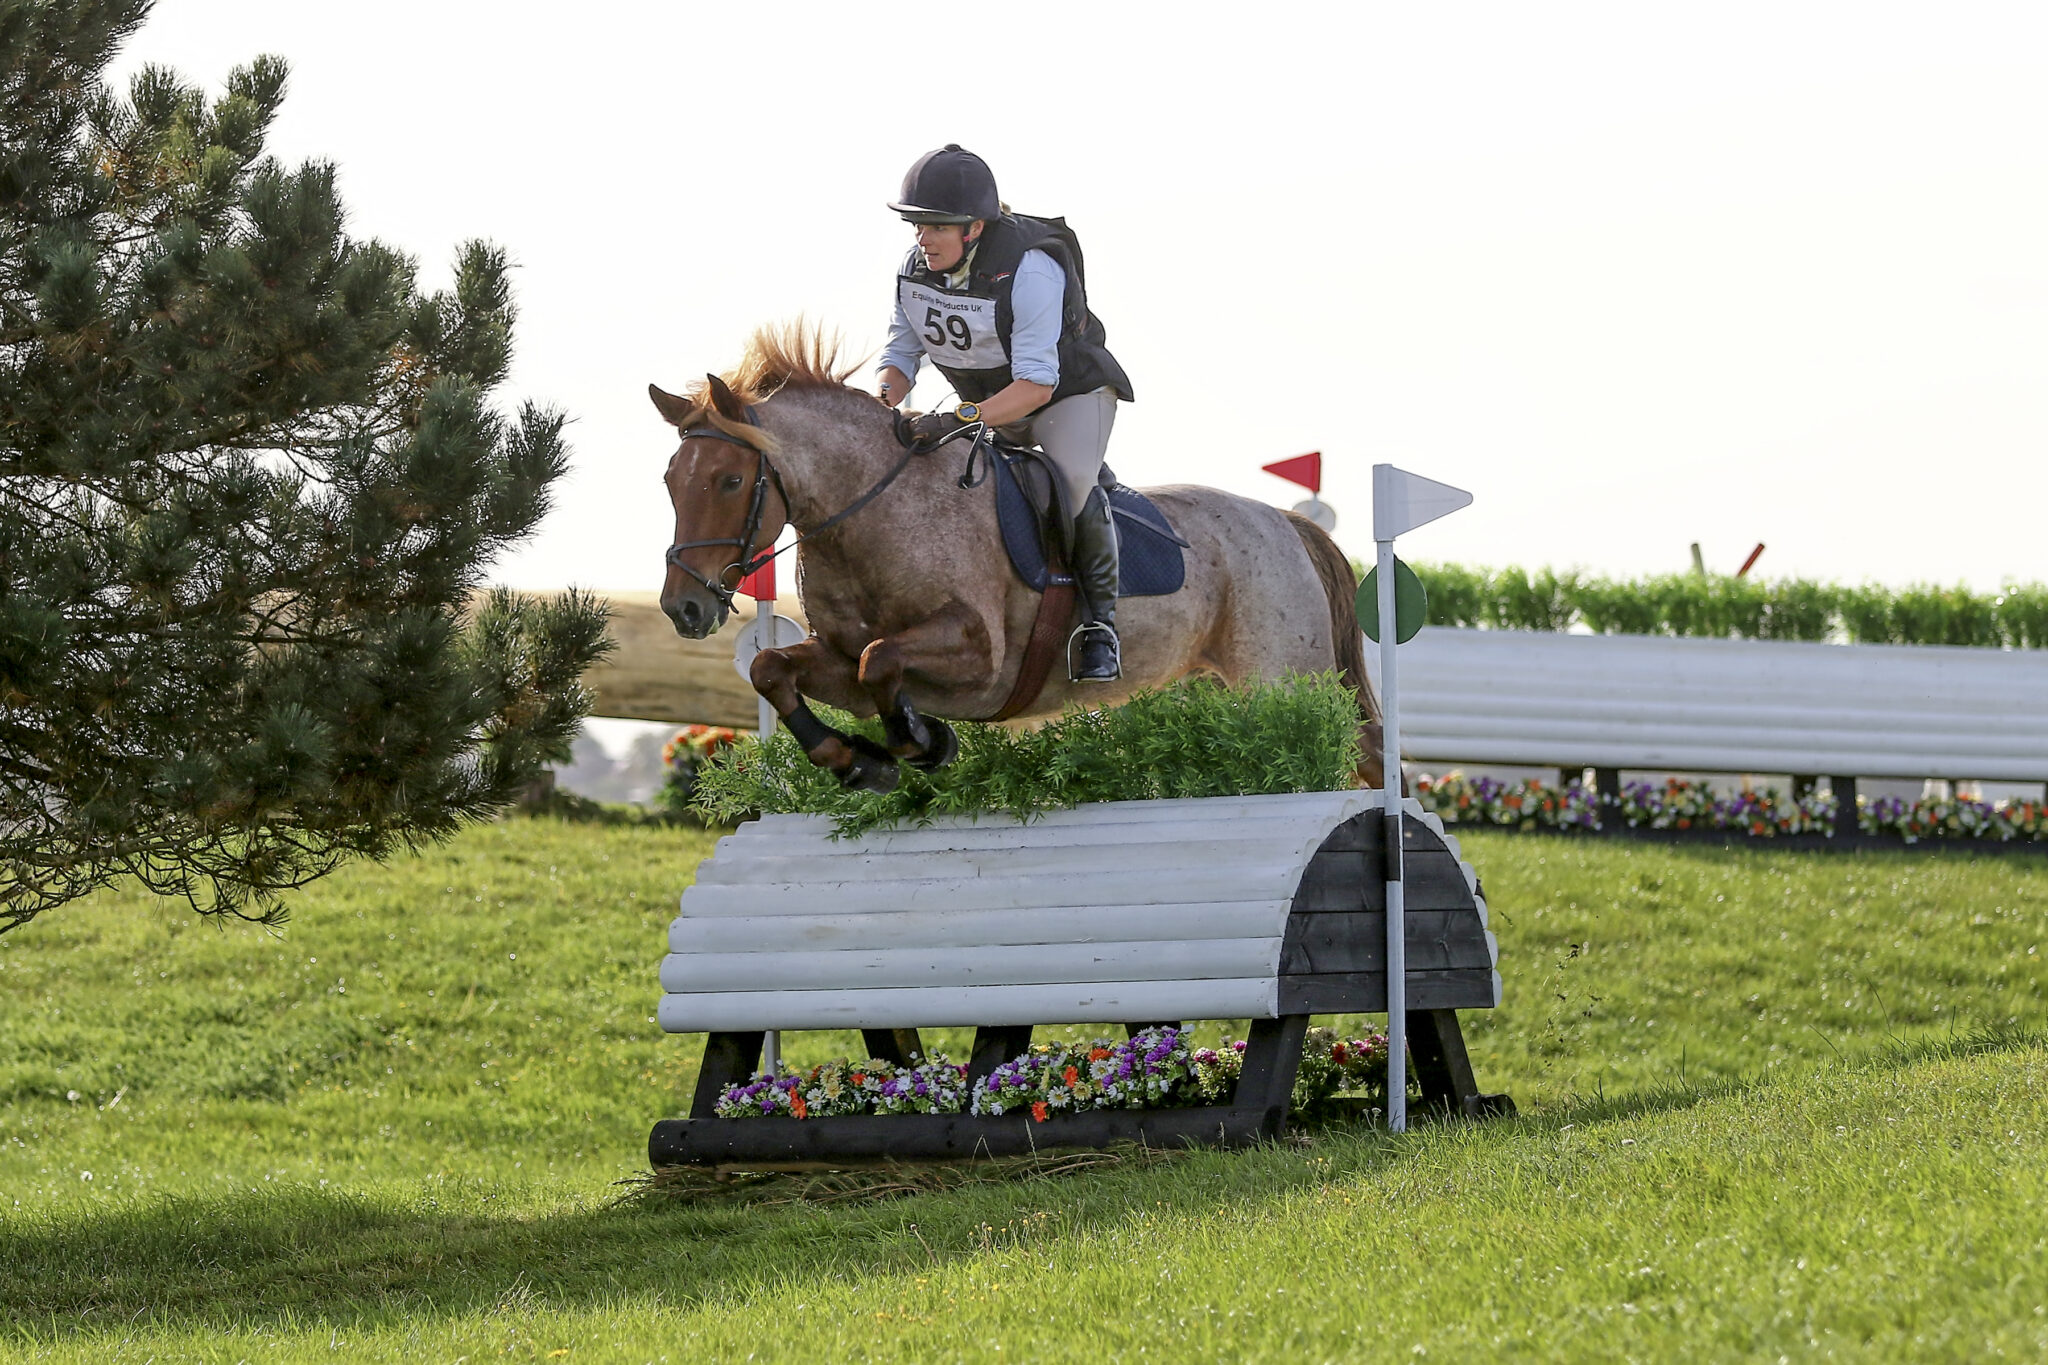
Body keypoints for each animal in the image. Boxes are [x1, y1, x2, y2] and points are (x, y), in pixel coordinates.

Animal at [652, 322, 1386, 793]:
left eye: (729, 480)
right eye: (669, 480)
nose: (683, 607)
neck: (869, 518)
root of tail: (1285, 524)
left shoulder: (981, 657)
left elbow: (880, 658)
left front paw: (920, 740)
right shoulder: (836, 661)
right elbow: (775, 669)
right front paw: (858, 760)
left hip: (1282, 675)